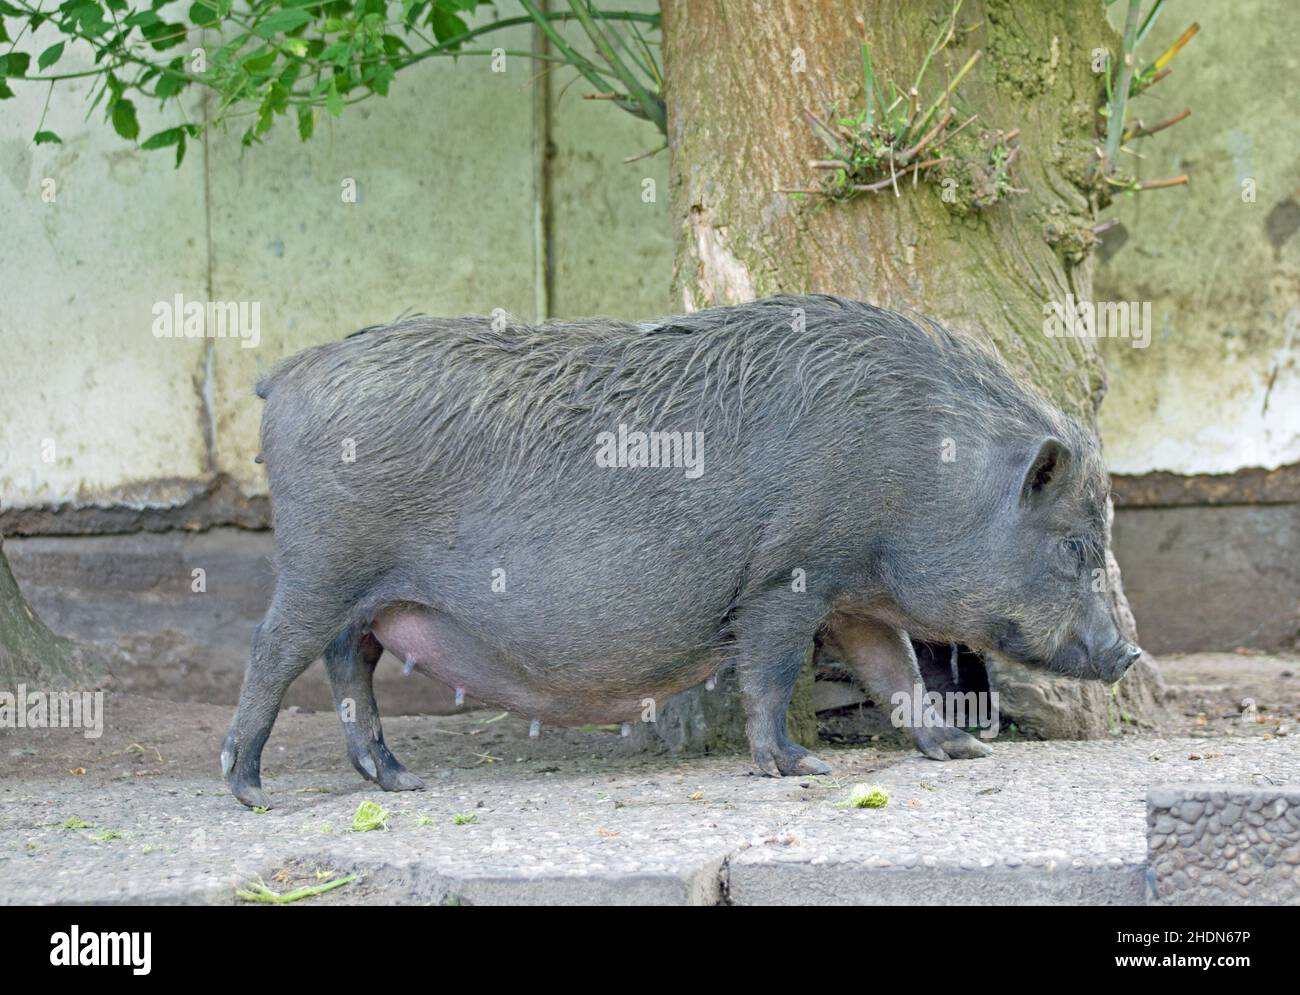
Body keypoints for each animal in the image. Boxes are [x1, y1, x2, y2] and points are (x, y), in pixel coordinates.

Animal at [221, 295, 1141, 808]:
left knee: (350, 663)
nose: (1129, 651)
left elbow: (898, 673)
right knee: (273, 651)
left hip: (367, 596)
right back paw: (253, 790)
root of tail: (284, 375)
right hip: (322, 565)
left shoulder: (851, 594)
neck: (923, 470)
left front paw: (963, 751)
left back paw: (399, 780)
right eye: (1074, 544)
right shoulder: (785, 574)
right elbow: (770, 672)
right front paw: (799, 767)